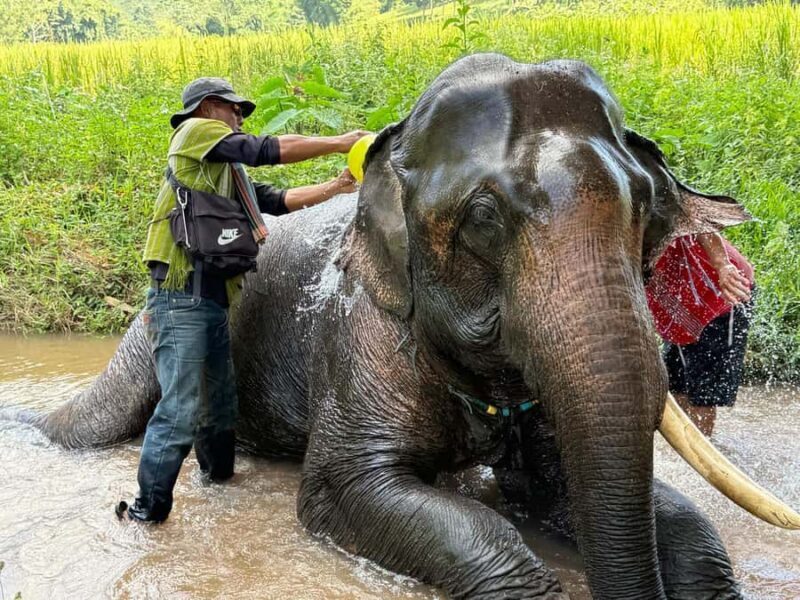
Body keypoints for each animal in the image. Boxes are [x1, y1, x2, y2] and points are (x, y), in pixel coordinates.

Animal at [16, 53, 799, 599]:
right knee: (102, 419)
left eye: (647, 209)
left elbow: (585, 497)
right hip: (160, 320)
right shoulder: (360, 337)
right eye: (484, 219)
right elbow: (345, 489)